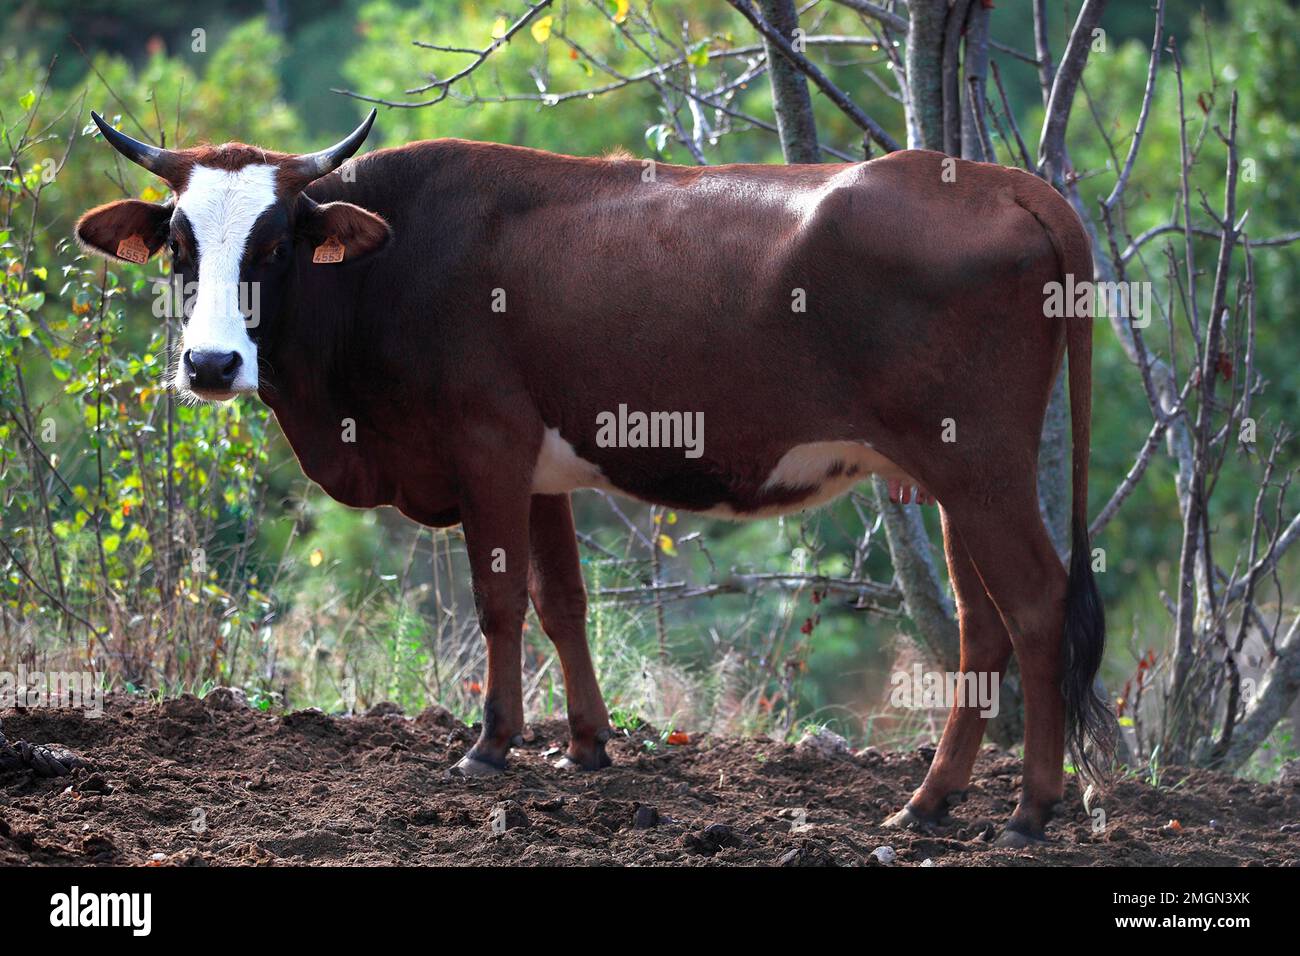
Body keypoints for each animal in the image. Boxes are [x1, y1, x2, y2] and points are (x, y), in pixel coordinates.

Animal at [76, 110, 1112, 846]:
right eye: (180, 246)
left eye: (276, 244)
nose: (211, 365)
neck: (392, 263)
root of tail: (998, 180)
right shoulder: (539, 474)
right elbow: (562, 602)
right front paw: (584, 746)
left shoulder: (488, 448)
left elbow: (499, 602)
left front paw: (491, 745)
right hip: (947, 476)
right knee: (981, 627)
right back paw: (929, 804)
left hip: (979, 466)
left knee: (1034, 606)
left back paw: (1029, 813)